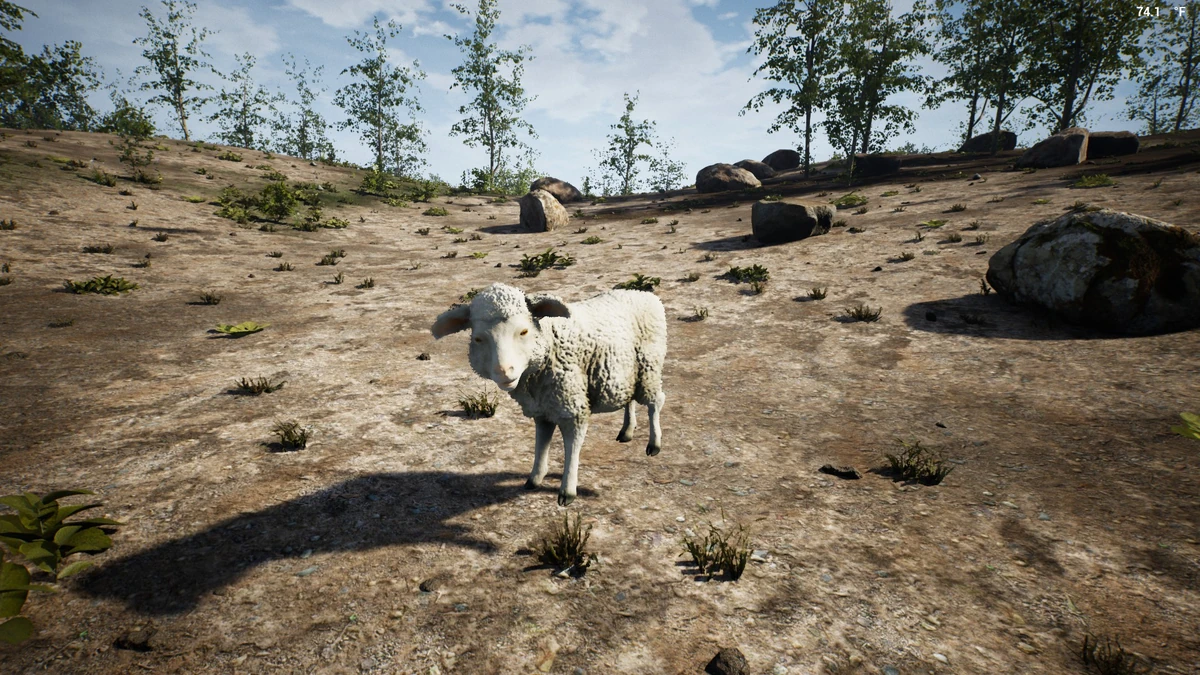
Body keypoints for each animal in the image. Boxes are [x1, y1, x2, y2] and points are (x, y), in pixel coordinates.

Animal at [431, 282, 667, 505]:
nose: (504, 372)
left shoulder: (573, 408)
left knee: (656, 402)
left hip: (650, 366)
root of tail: (643, 294)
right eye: (478, 339)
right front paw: (535, 478)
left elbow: (572, 448)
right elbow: (541, 443)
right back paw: (627, 431)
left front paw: (567, 491)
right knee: (630, 400)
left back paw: (654, 444)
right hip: (627, 372)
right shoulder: (542, 409)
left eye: (523, 331)